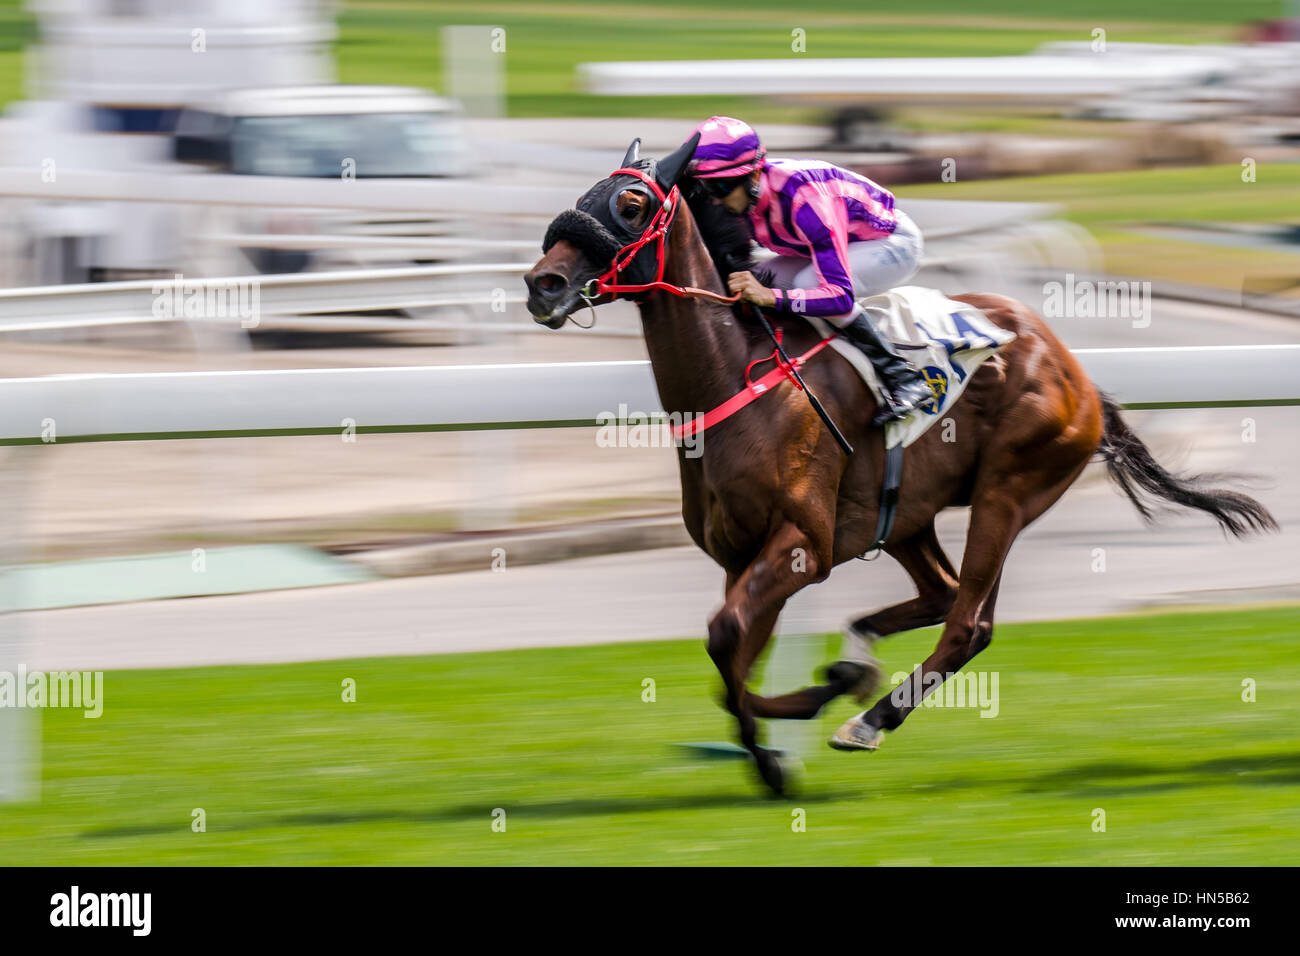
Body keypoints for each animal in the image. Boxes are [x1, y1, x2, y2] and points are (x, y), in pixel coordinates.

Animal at [523, 136, 1278, 795]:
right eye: (582, 195)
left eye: (630, 204)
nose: (541, 284)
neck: (735, 377)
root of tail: (1079, 376)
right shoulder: (742, 557)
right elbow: (731, 660)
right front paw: (790, 733)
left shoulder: (802, 545)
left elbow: (727, 638)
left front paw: (796, 732)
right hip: (907, 512)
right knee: (944, 594)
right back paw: (857, 667)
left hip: (1007, 493)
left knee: (968, 623)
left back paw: (867, 719)